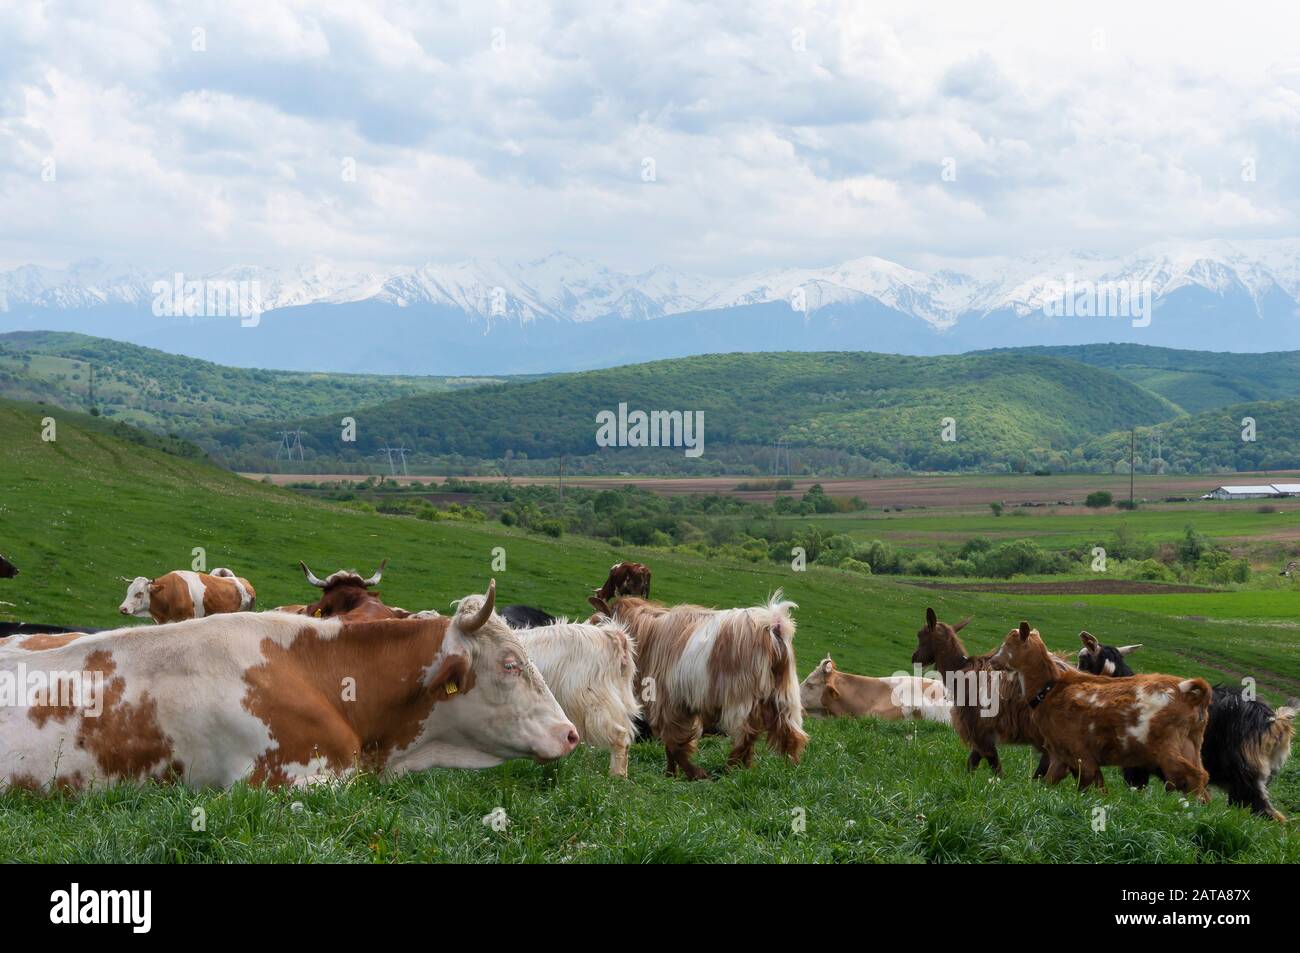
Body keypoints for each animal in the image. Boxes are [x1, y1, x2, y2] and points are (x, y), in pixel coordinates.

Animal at [590, 590, 805, 779]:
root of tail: (774, 624)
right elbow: (671, 745)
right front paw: (671, 775)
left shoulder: (668, 702)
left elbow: (674, 743)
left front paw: (694, 774)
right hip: (785, 695)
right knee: (790, 734)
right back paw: (786, 769)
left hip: (741, 698)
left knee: (745, 735)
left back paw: (730, 771)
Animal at [991, 621, 1212, 801]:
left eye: (1009, 643)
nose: (993, 661)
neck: (1050, 689)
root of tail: (1193, 696)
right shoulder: (1061, 757)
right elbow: (1056, 783)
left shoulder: (1080, 756)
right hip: (1190, 746)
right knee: (1203, 782)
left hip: (1166, 751)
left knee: (1194, 778)